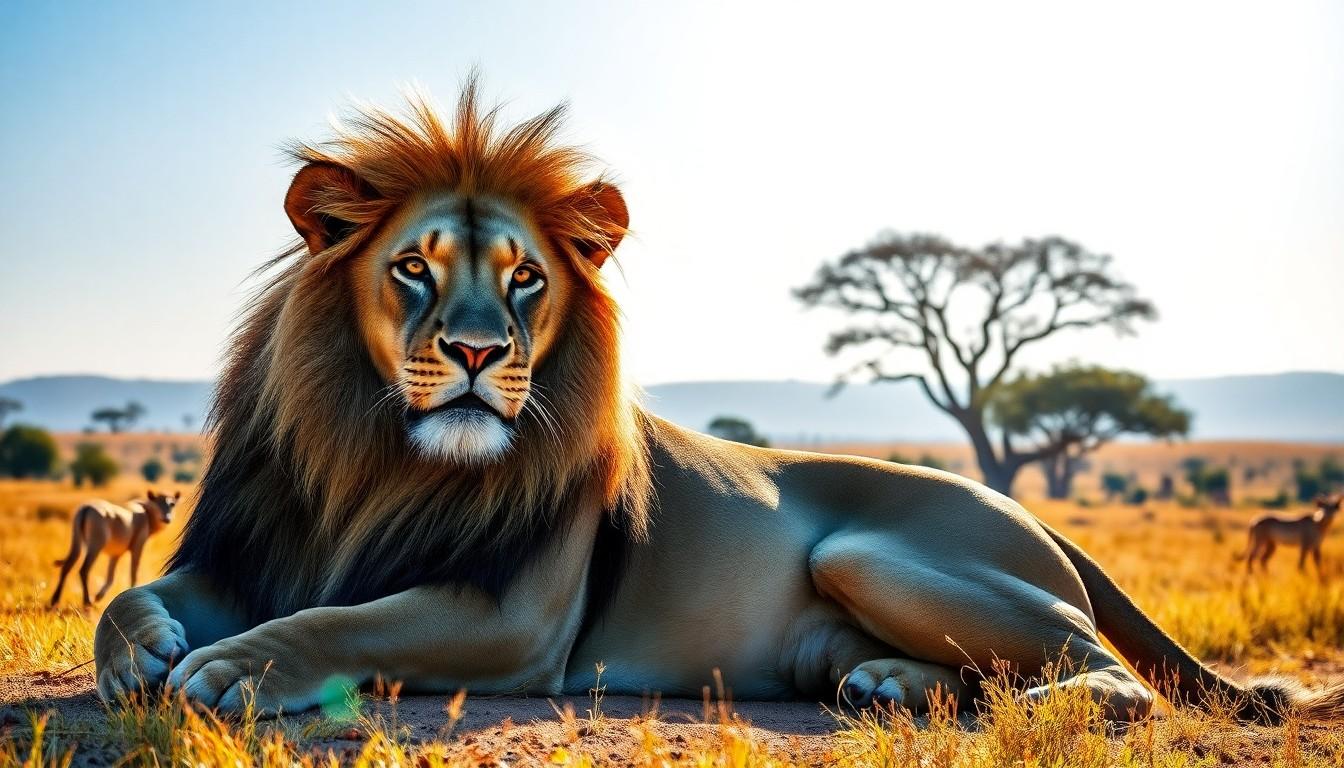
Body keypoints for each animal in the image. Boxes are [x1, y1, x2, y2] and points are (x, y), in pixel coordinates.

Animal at [51, 490, 179, 607]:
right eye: (157, 502)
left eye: (172, 504)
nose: (167, 518)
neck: (147, 513)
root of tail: (87, 507)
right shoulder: (137, 546)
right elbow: (134, 571)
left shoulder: (116, 554)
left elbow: (110, 576)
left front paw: (99, 596)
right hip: (96, 544)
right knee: (84, 569)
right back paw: (87, 601)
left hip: (77, 543)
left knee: (67, 566)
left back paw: (55, 600)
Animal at [93, 78, 1344, 724]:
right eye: (413, 265)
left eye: (525, 278)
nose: (476, 350)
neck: (373, 458)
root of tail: (1034, 514)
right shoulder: (254, 553)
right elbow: (128, 601)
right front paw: (142, 655)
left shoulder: (515, 619)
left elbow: (348, 622)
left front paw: (233, 669)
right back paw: (887, 682)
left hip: (864, 553)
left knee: (1112, 679)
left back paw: (1016, 708)